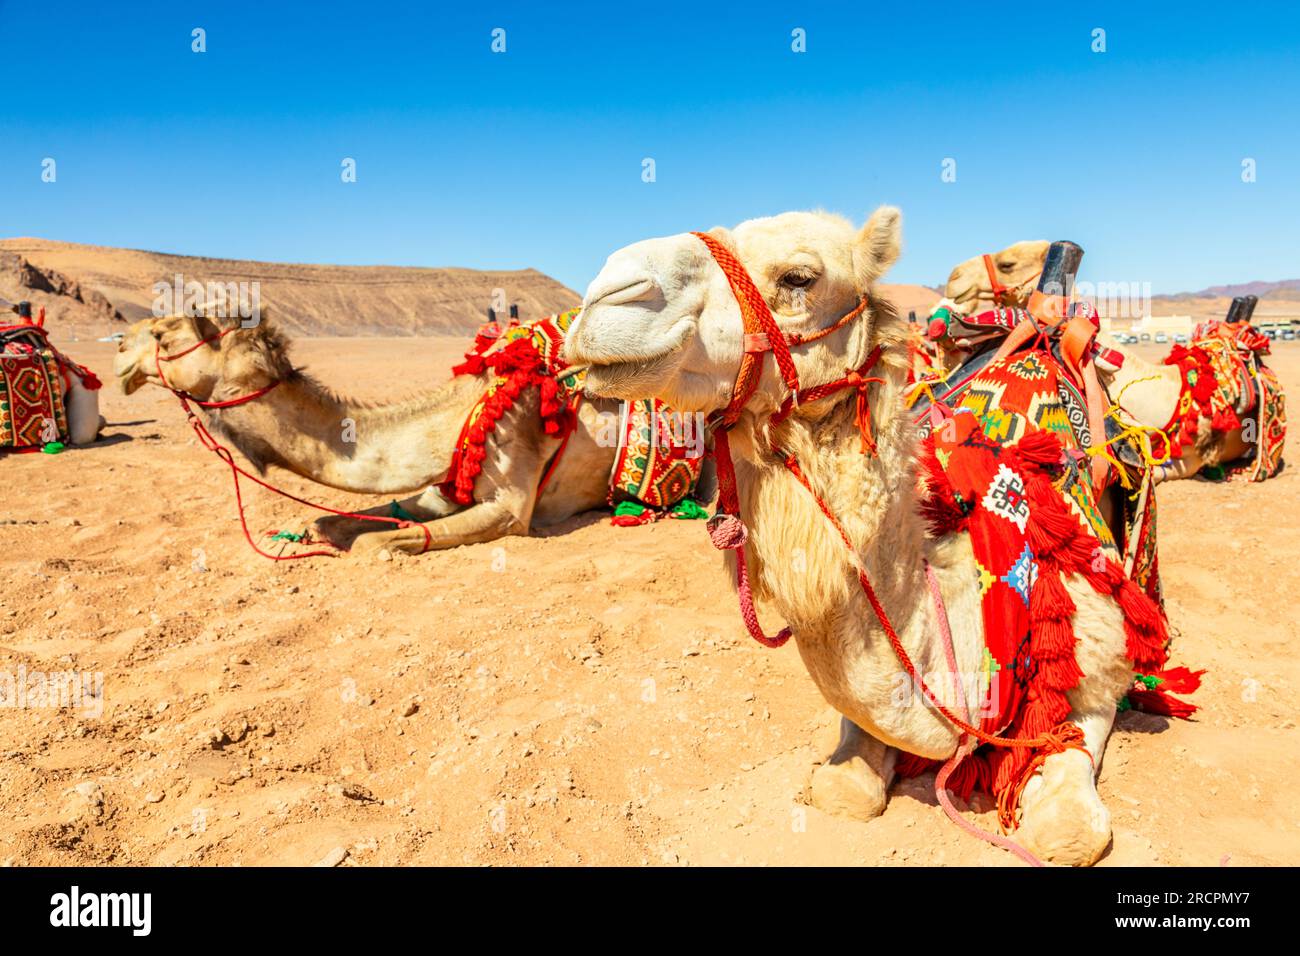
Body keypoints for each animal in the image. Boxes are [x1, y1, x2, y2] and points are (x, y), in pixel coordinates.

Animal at [112, 311, 707, 555]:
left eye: (163, 336)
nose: (118, 355)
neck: (465, 408)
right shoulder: (447, 486)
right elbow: (349, 516)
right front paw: (312, 531)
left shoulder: (512, 504)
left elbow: (375, 544)